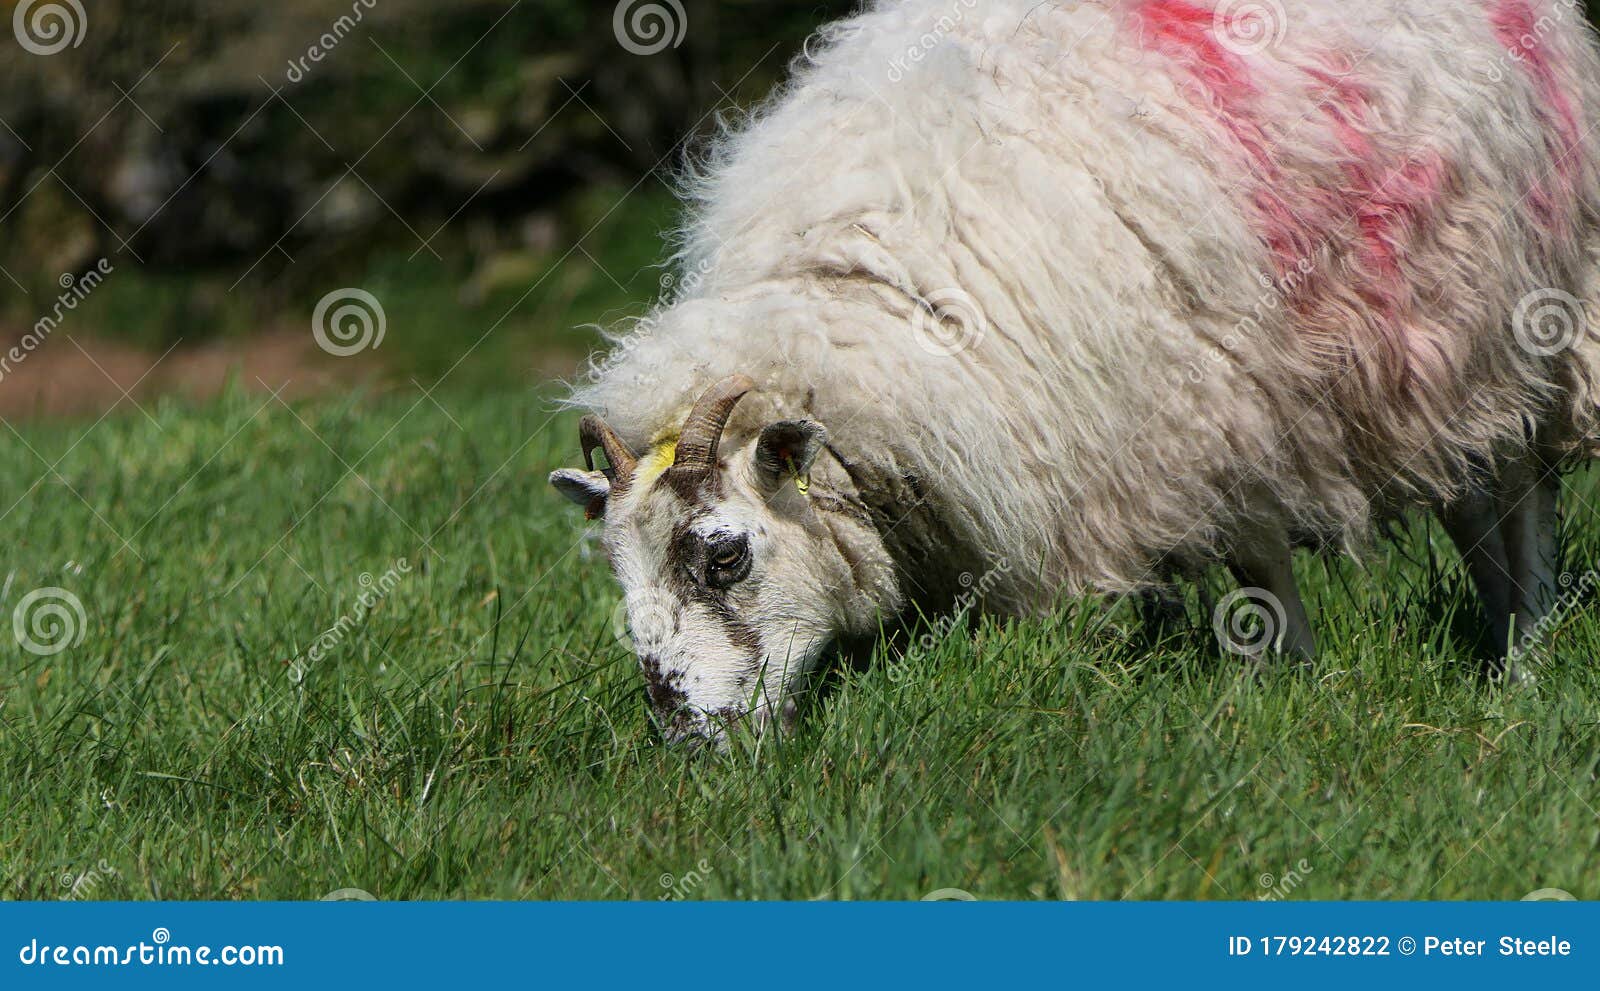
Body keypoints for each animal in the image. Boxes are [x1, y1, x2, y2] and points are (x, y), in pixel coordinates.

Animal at [551, 0, 1600, 747]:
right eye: (617, 570)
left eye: (725, 555)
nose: (690, 746)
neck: (862, 306)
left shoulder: (1215, 401)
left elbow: (1257, 558)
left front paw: (1284, 682)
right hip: (1447, 354)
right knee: (1474, 494)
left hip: (1526, 308)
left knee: (1520, 487)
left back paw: (1526, 656)